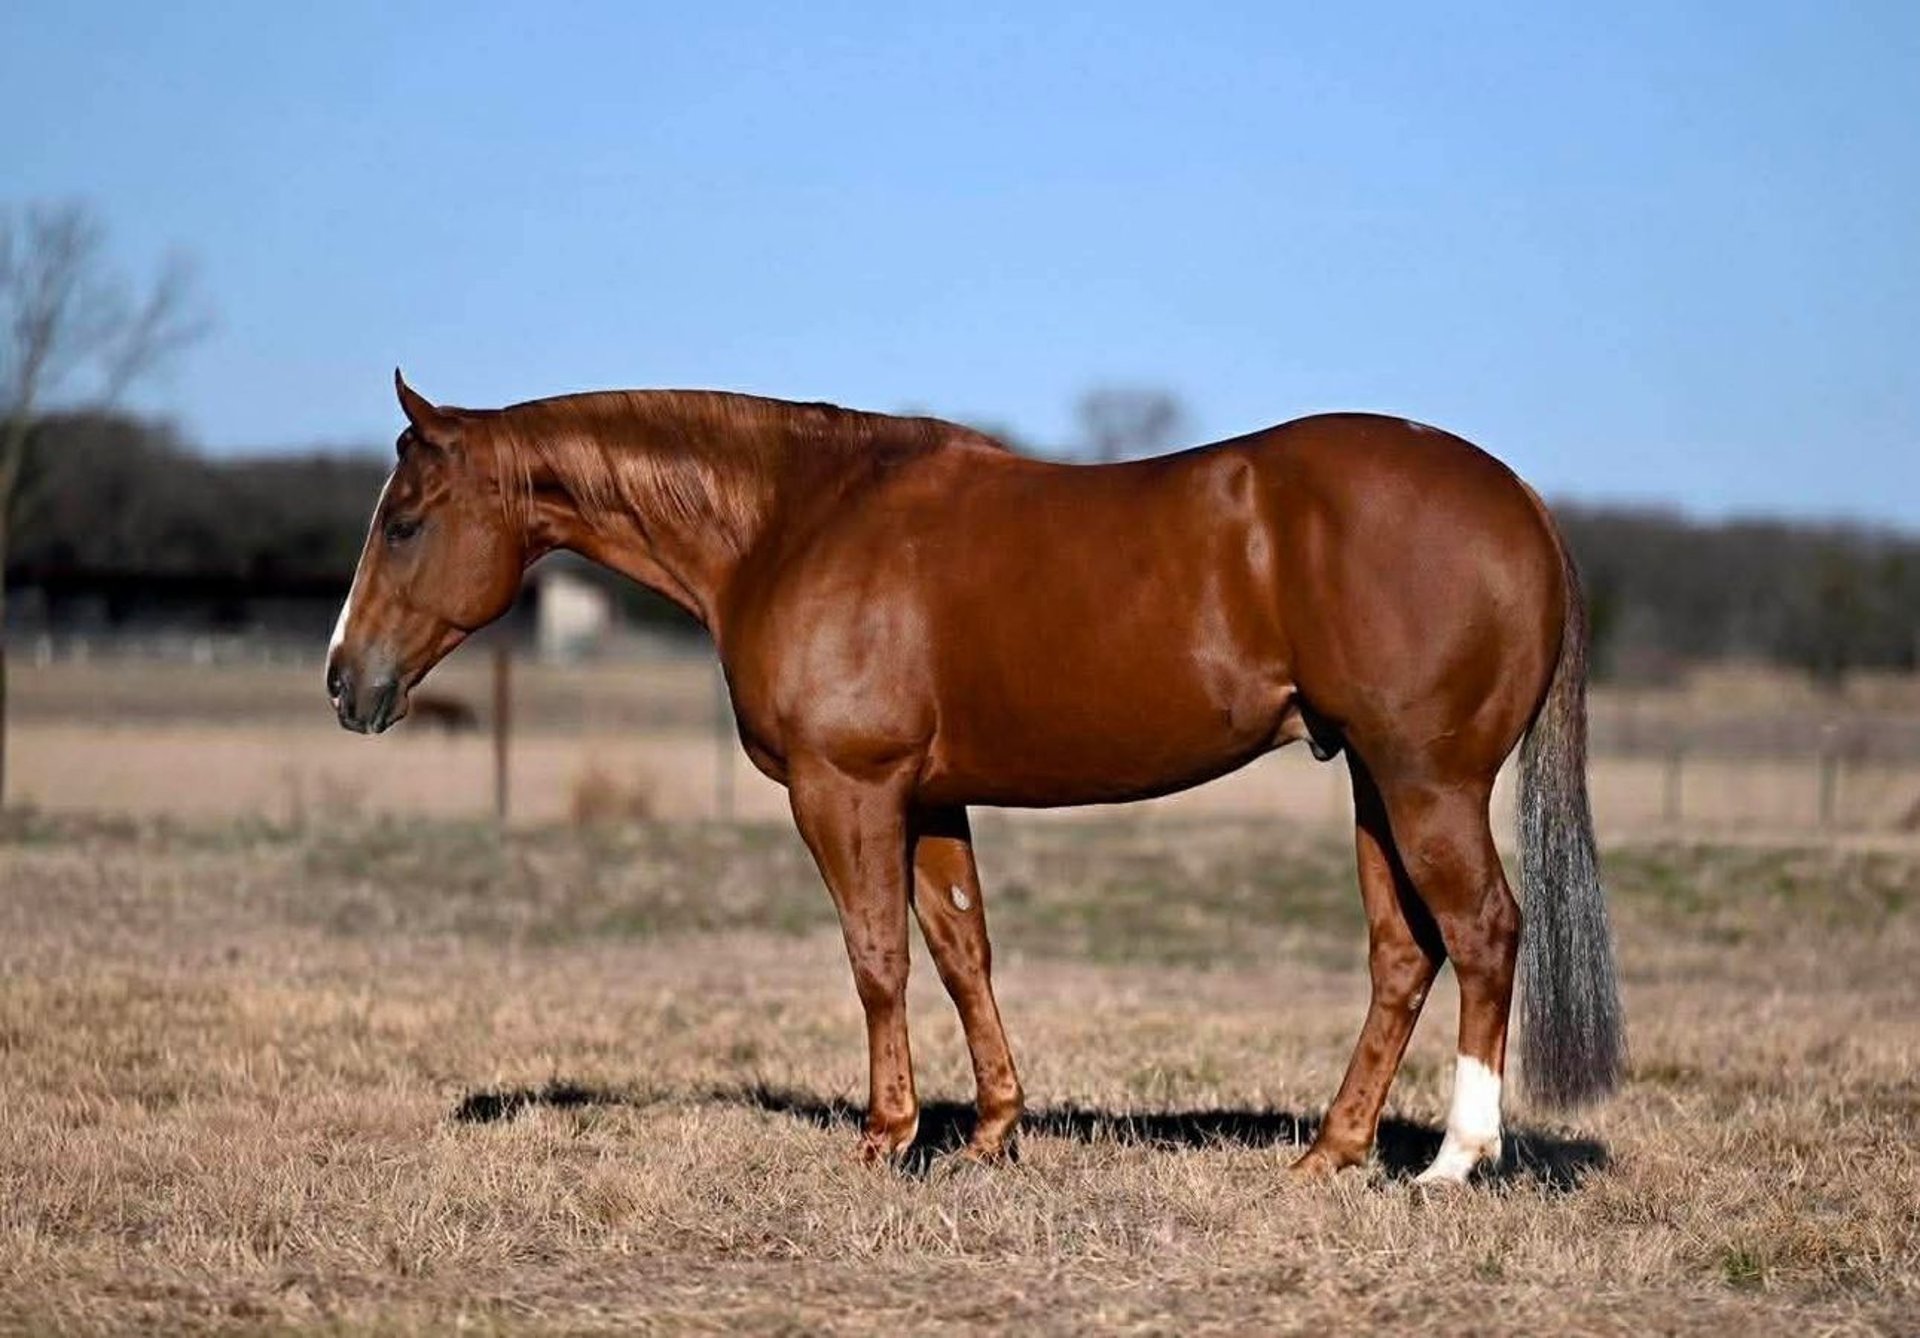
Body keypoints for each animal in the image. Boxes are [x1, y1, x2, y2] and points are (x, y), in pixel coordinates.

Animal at [327, 370, 1624, 1184]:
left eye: (404, 520)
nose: (347, 683)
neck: (794, 523)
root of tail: (1518, 500)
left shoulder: (846, 790)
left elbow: (878, 958)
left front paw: (886, 1137)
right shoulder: (931, 796)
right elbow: (962, 950)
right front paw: (995, 1132)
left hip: (1424, 782)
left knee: (1485, 932)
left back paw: (1454, 1162)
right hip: (1371, 783)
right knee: (1405, 953)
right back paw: (1329, 1154)